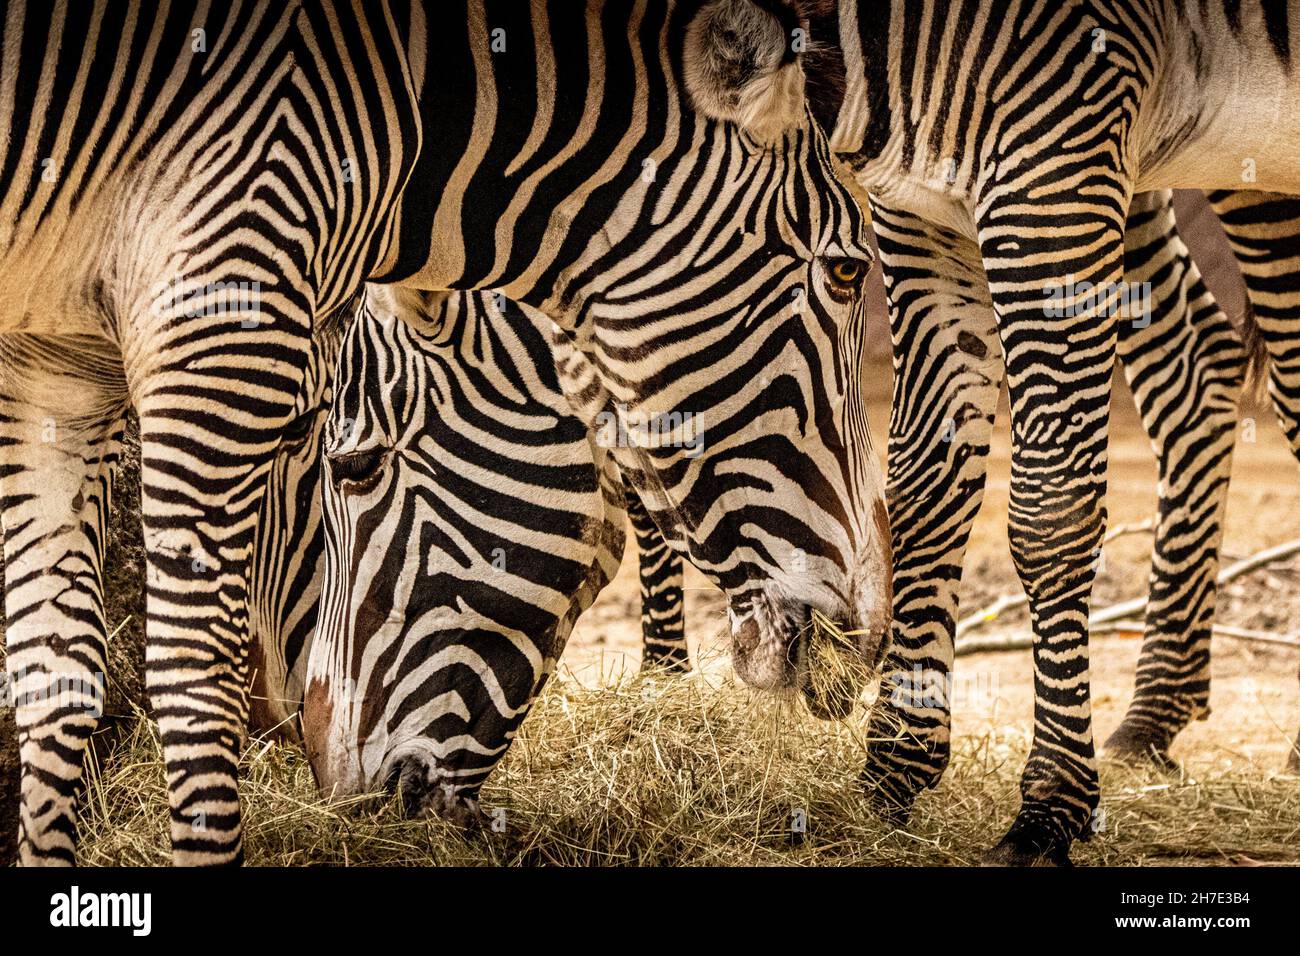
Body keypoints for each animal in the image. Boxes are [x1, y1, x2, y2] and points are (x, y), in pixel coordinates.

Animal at [1, 0, 888, 865]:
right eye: (849, 270)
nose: (867, 640)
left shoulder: (55, 369)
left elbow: (57, 673)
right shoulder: (217, 309)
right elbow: (192, 679)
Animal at [811, 0, 1300, 863]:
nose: (826, 672)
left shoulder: (1057, 159)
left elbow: (1050, 510)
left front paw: (1049, 808)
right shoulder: (917, 200)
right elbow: (925, 484)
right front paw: (893, 768)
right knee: (1200, 364)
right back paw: (1152, 716)